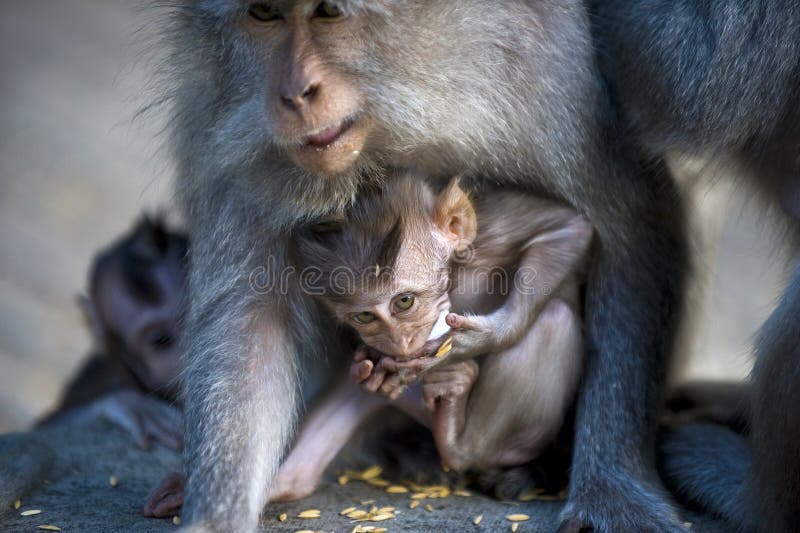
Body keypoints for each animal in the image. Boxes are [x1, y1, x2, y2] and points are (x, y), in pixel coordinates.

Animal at [158, 2, 688, 531]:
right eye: (365, 315)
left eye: (405, 301)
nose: (295, 93)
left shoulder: (494, 216)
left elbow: (576, 227)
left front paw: (484, 336)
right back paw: (298, 472)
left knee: (551, 325)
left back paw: (458, 439)